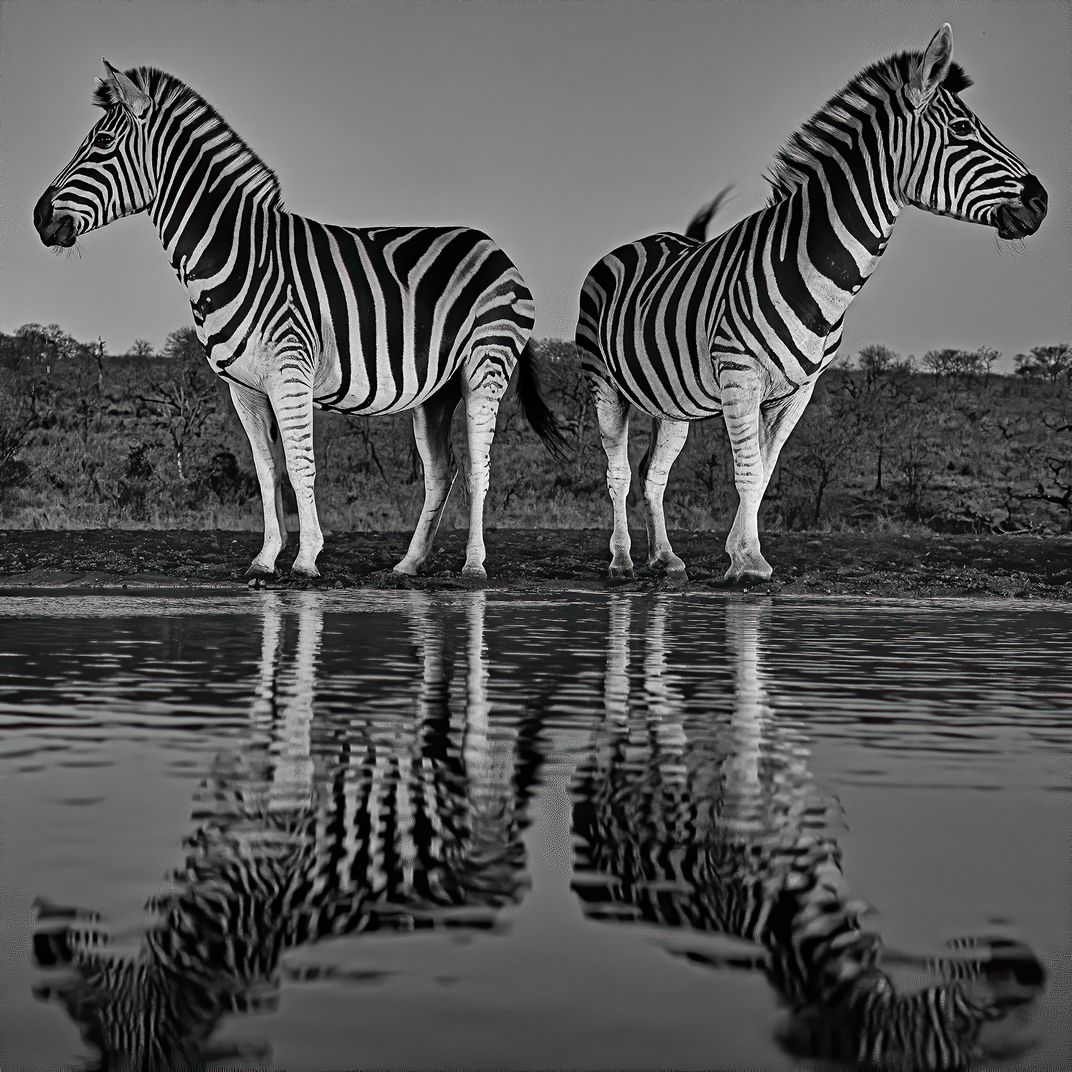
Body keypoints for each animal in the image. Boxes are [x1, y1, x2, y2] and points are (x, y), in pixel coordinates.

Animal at [32, 590, 547, 1070]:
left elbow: (295, 703)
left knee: (479, 733)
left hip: (482, 789)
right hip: (437, 766)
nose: (42, 946)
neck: (213, 935)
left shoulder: (278, 816)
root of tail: (497, 893)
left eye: (95, 1020)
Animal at [34, 62, 567, 581]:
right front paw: (266, 557)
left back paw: (474, 565)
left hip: (485, 366)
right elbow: (267, 471)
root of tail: (495, 249)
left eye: (103, 142)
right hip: (436, 390)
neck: (238, 255)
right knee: (441, 471)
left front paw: (307, 558)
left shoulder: (290, 371)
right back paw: (408, 564)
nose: (39, 218)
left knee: (479, 467)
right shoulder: (243, 387)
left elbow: (300, 466)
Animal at [571, 597, 1046, 1071]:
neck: (793, 911)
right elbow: (746, 726)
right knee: (618, 711)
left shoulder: (795, 812)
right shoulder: (740, 829)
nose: (1022, 966)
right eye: (962, 1032)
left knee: (659, 713)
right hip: (610, 768)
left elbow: (759, 707)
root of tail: (588, 883)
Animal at [575, 24, 1048, 582]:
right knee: (619, 472)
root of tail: (636, 243)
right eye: (961, 128)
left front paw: (744, 554)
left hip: (671, 398)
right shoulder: (740, 375)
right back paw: (622, 560)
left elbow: (762, 473)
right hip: (604, 382)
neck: (818, 276)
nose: (1041, 202)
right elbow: (746, 471)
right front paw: (747, 563)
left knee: (654, 473)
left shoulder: (797, 390)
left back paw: (665, 559)